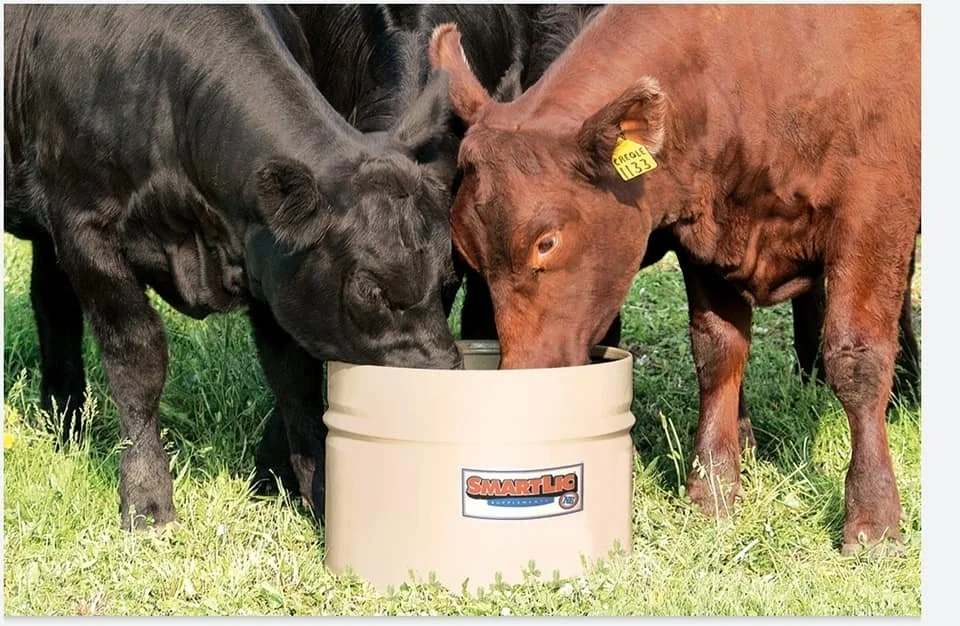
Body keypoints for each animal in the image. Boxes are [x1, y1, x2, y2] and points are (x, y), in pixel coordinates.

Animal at [4, 4, 462, 529]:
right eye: (371, 290)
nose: (444, 376)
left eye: (446, 275)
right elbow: (137, 361)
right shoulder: (84, 230)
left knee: (51, 301)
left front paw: (321, 496)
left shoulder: (272, 266)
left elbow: (295, 381)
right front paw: (147, 500)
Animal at [429, 5, 920, 554]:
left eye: (546, 242)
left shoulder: (875, 213)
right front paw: (713, 488)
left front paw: (873, 521)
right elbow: (717, 350)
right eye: (466, 251)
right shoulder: (707, 236)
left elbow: (857, 359)